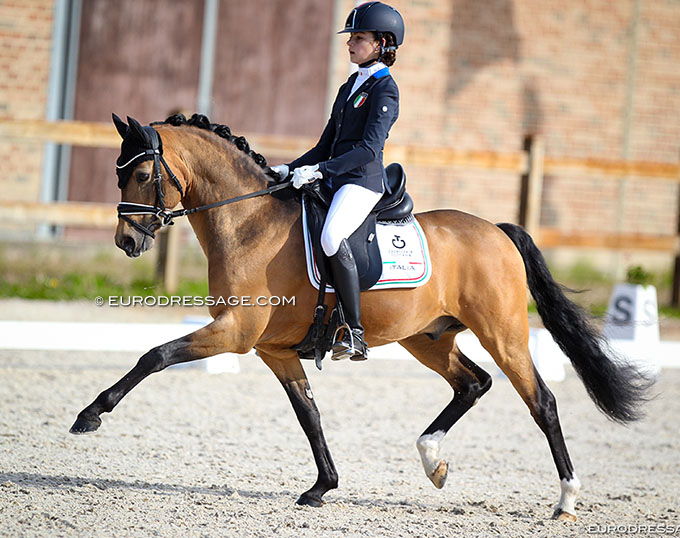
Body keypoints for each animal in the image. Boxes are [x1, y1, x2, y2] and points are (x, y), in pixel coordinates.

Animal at [70, 113, 652, 521]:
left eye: (141, 173)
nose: (126, 242)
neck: (248, 221)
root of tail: (496, 230)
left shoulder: (234, 334)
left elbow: (155, 355)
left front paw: (91, 415)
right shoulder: (273, 350)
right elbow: (309, 414)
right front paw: (322, 487)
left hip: (502, 333)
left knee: (541, 402)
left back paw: (566, 501)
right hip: (427, 338)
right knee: (472, 384)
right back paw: (433, 461)